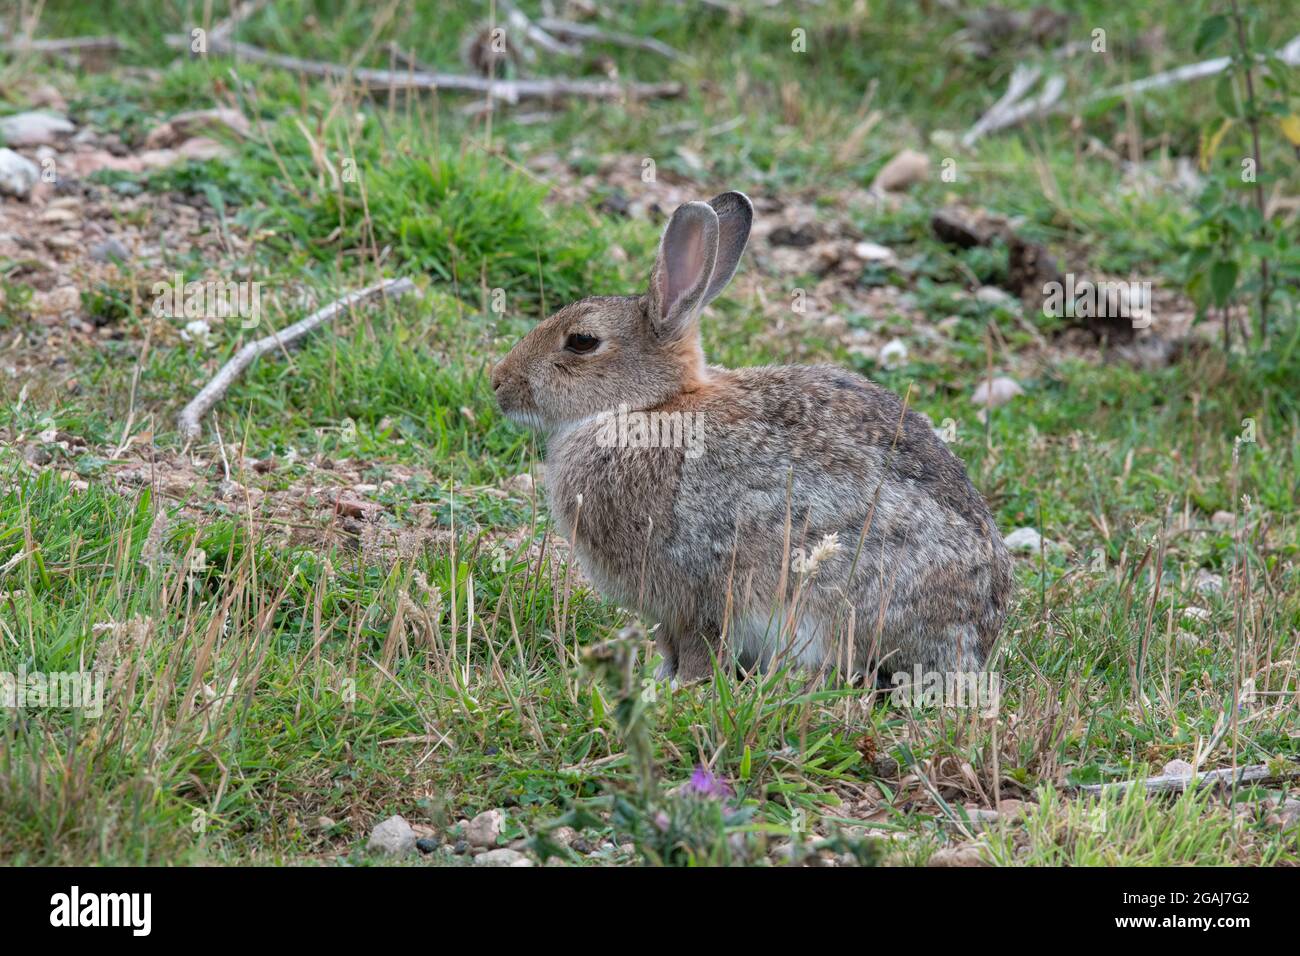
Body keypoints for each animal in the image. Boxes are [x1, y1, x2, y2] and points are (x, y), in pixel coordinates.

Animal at [491, 191, 1013, 684]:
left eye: (582, 341)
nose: (497, 382)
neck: (649, 406)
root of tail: (977, 632)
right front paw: (659, 678)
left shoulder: (698, 588)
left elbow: (699, 644)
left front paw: (681, 687)